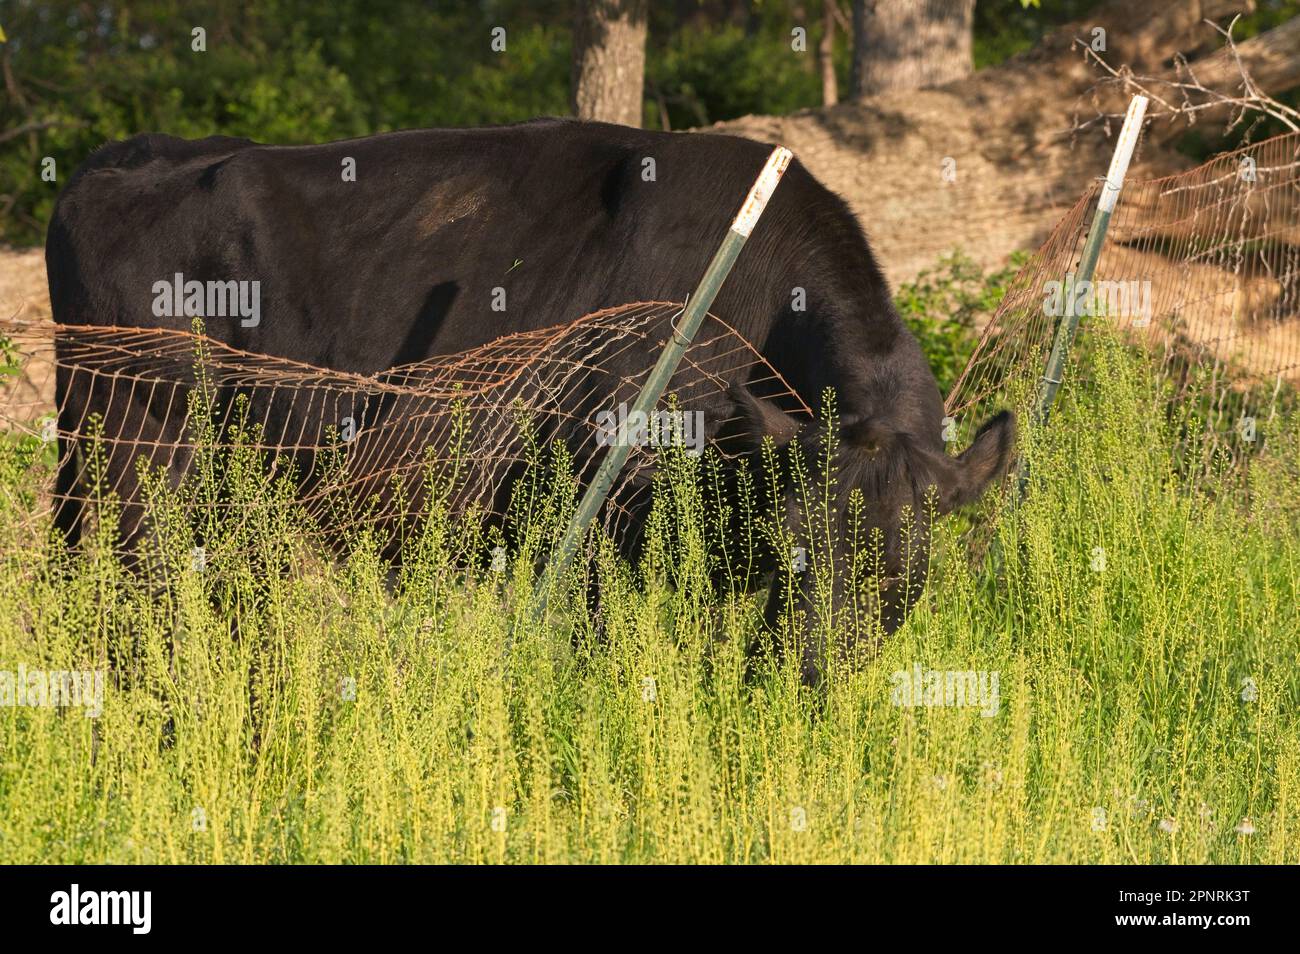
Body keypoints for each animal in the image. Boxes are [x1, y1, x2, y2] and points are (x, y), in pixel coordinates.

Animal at [45, 118, 1015, 681]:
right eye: (793, 551)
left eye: (898, 566)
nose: (804, 680)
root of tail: (128, 154)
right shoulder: (597, 516)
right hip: (136, 452)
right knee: (138, 605)